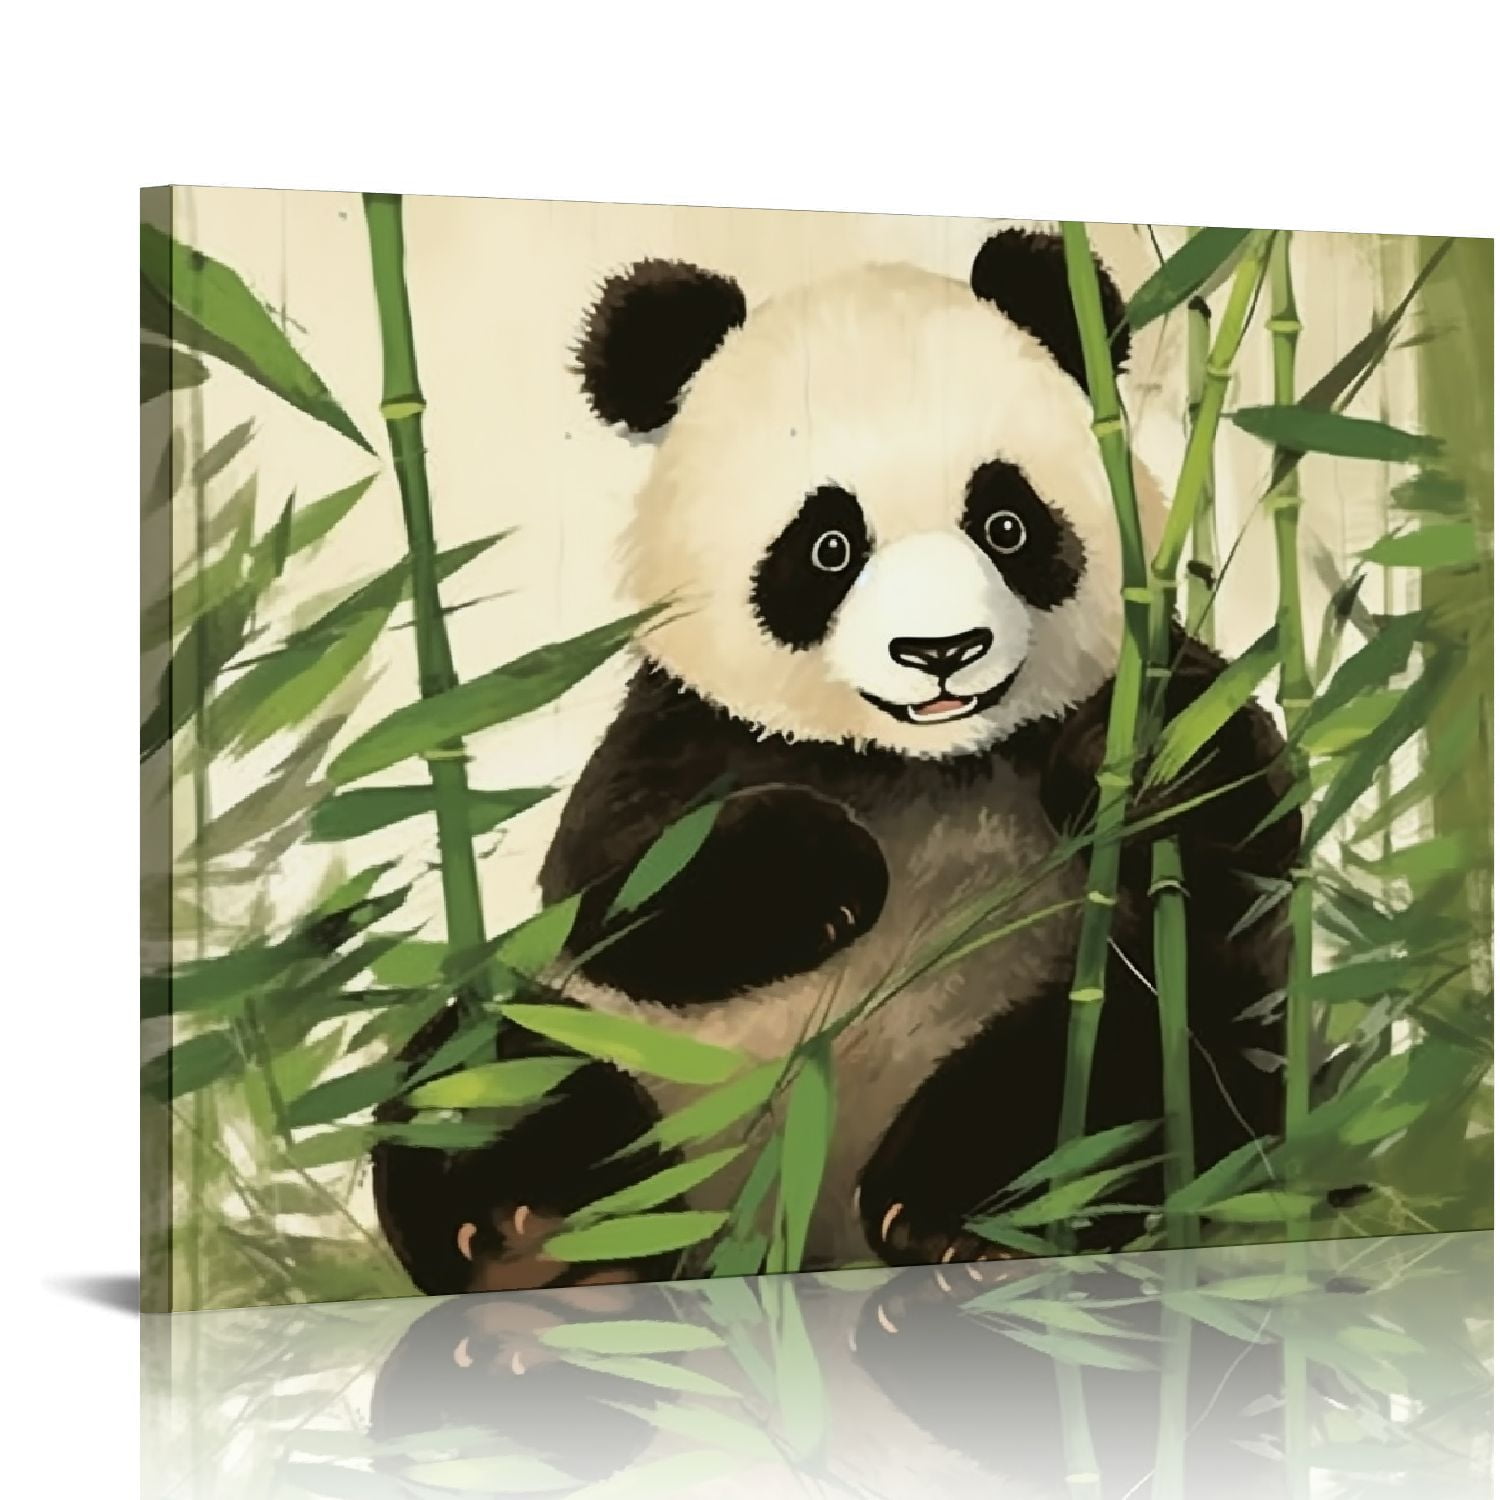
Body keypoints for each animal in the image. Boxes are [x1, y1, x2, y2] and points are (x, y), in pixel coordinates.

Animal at [373, 228, 1296, 1294]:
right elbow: (611, 885)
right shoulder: (685, 727)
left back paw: (967, 1217)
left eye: (1008, 524)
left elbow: (1241, 817)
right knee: (485, 1068)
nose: (941, 652)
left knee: (1129, 1057)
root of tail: (780, 1239)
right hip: (605, 1059)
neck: (925, 761)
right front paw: (822, 875)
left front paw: (1127, 765)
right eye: (827, 546)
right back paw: (532, 1238)